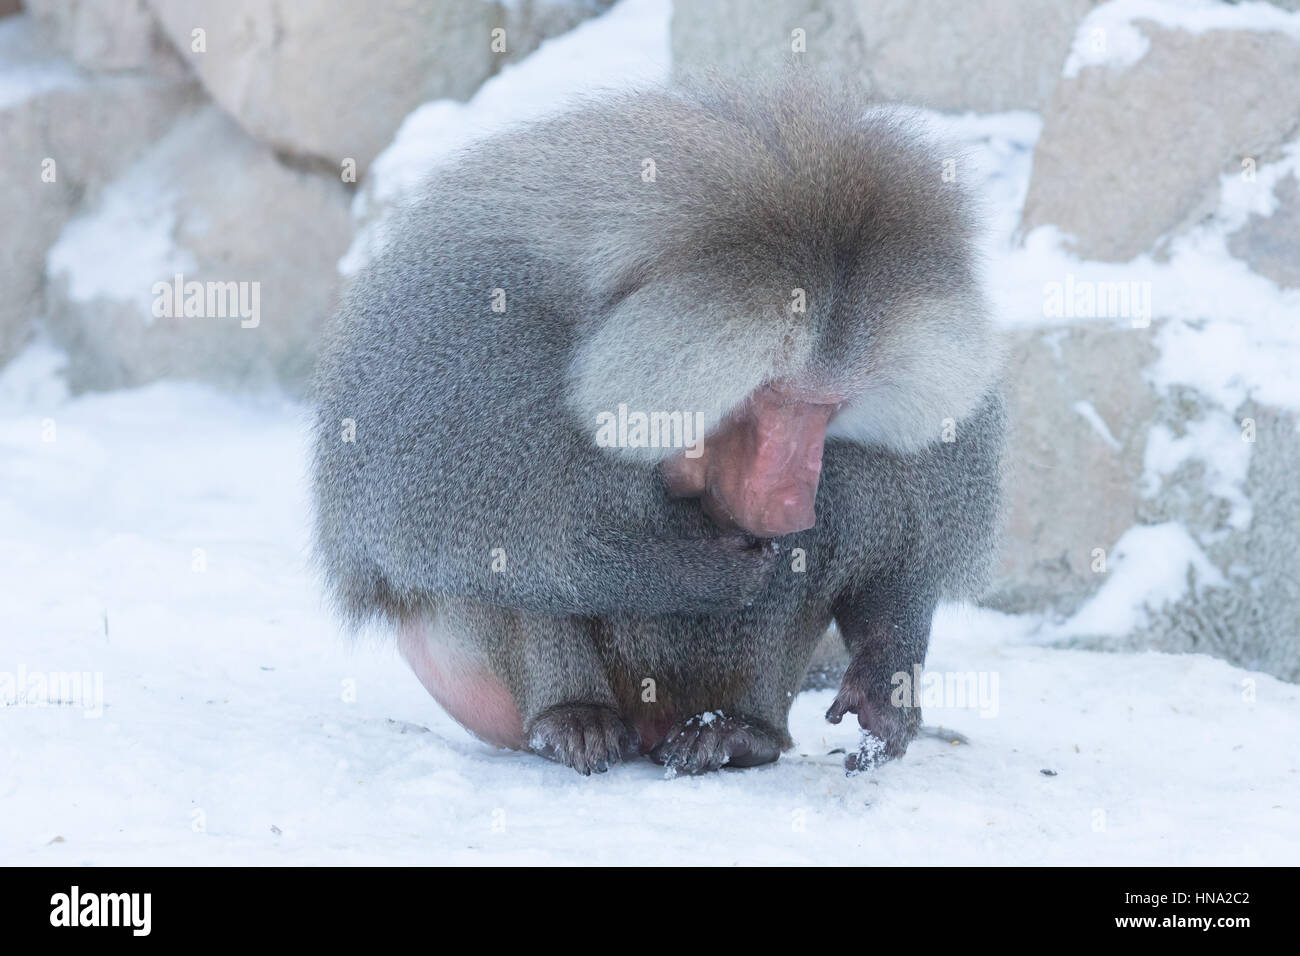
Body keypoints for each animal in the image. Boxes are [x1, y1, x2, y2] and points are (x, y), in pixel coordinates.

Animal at [311, 77, 1006, 776]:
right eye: (768, 398)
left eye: (829, 407)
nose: (791, 504)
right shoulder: (458, 369)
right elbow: (474, 546)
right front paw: (705, 574)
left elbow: (896, 558)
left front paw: (885, 686)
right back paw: (572, 720)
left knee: (845, 498)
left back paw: (739, 732)